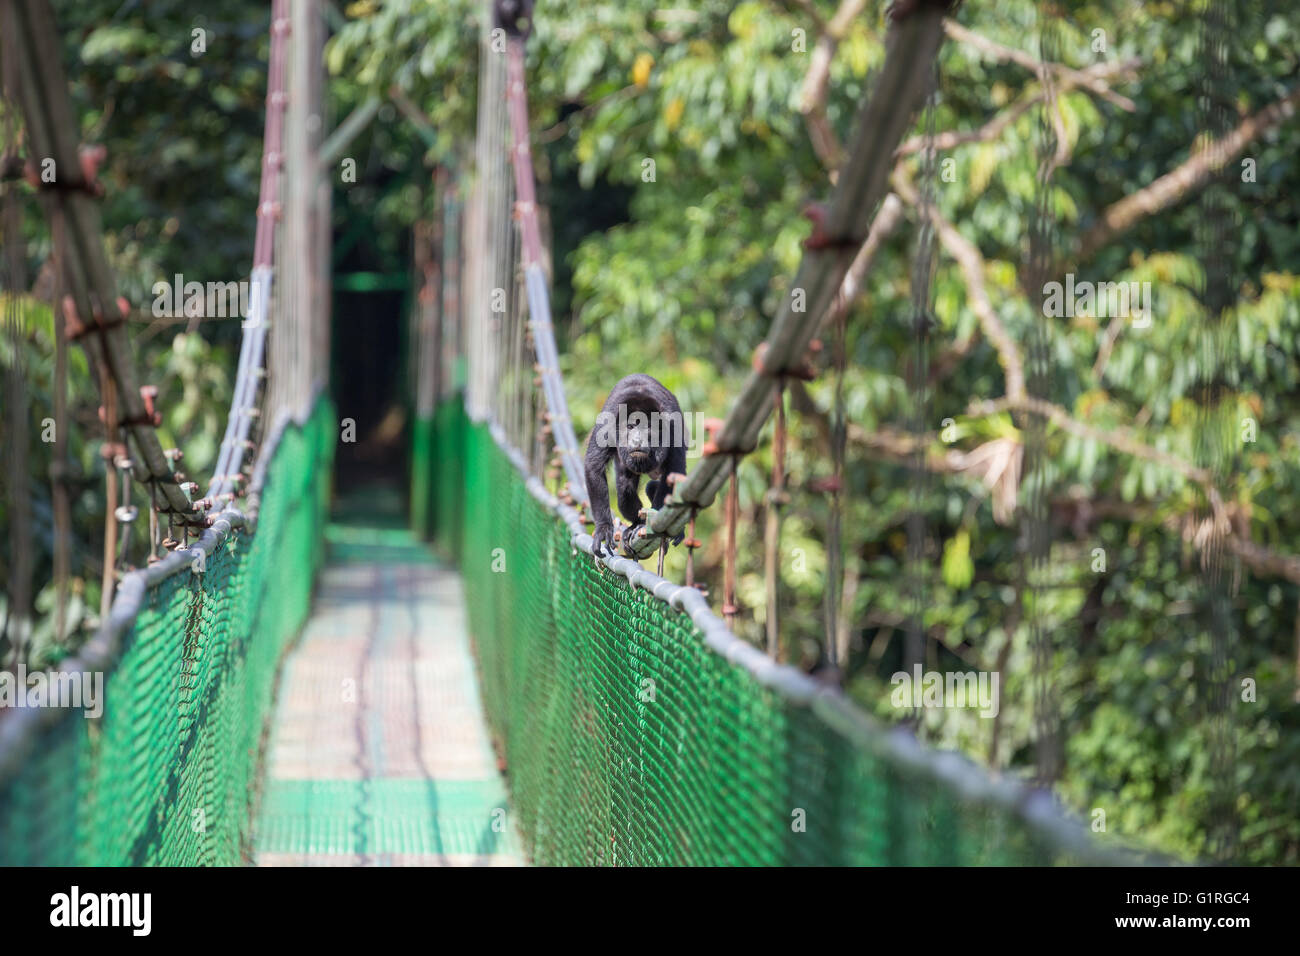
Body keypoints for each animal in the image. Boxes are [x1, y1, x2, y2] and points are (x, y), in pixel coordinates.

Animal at [584, 374, 688, 559]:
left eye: (648, 427)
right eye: (630, 426)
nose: (638, 439)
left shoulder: (672, 425)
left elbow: (674, 471)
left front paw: (649, 526)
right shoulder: (608, 423)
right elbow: (593, 466)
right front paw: (603, 528)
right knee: (625, 488)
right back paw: (634, 524)